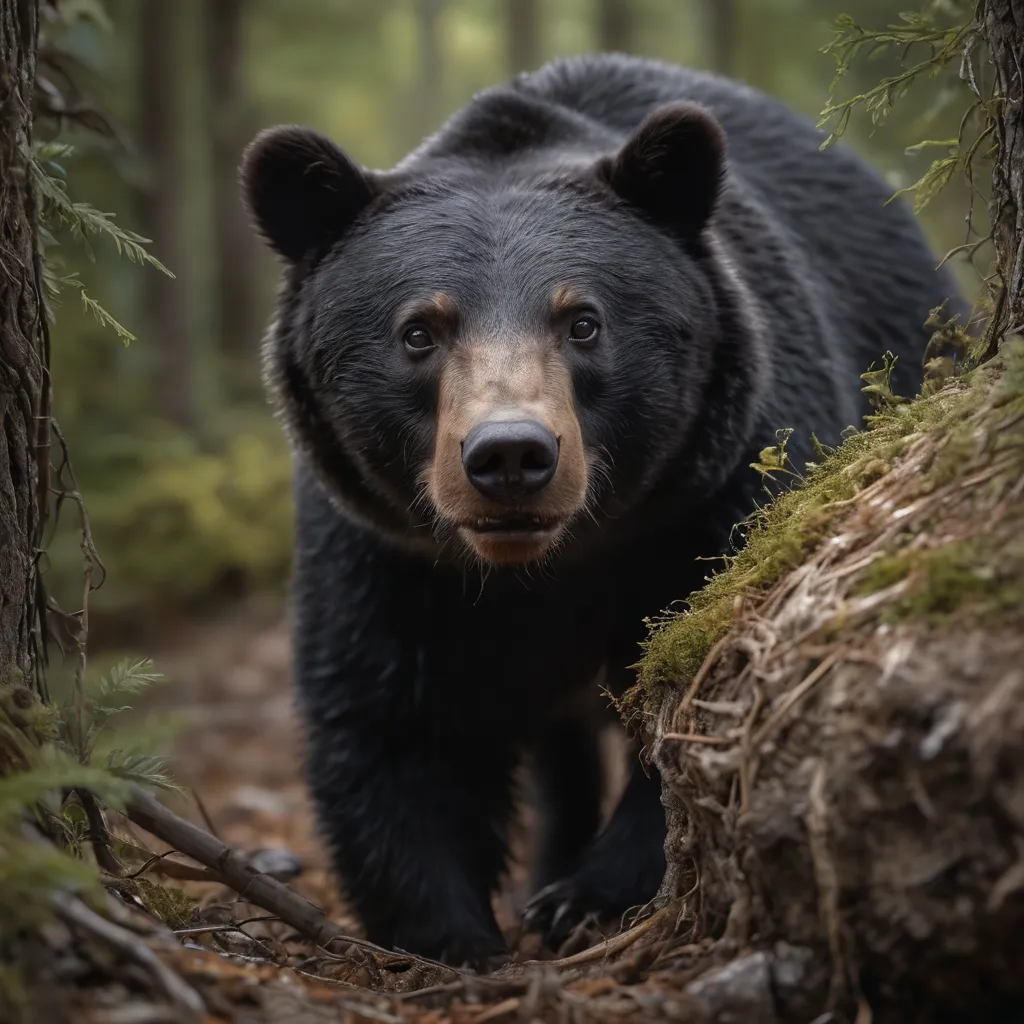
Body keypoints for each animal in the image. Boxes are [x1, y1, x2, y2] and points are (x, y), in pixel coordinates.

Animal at [239, 52, 968, 968]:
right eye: (419, 331)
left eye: (582, 320)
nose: (511, 455)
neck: (553, 568)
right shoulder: (388, 553)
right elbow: (391, 725)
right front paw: (456, 937)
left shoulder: (717, 494)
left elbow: (703, 682)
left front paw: (586, 896)